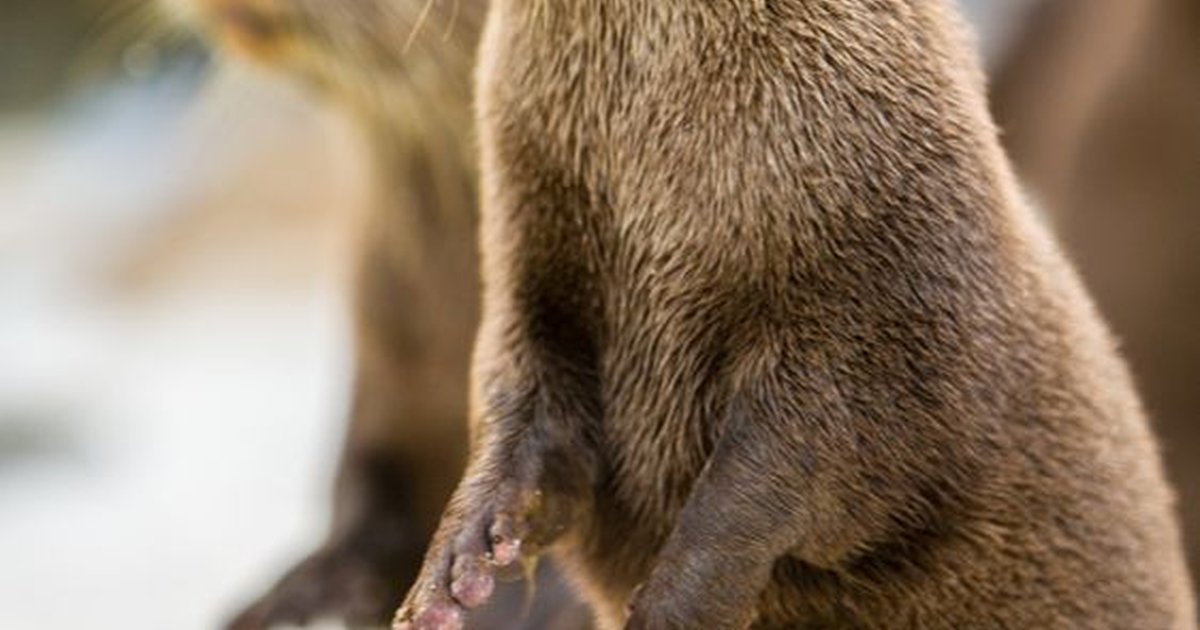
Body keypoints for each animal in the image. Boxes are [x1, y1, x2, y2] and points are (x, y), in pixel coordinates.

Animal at [395, 1, 1196, 628]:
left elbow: (784, 477)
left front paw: (672, 606)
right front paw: (461, 559)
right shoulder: (533, 250)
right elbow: (522, 396)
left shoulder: (889, 309)